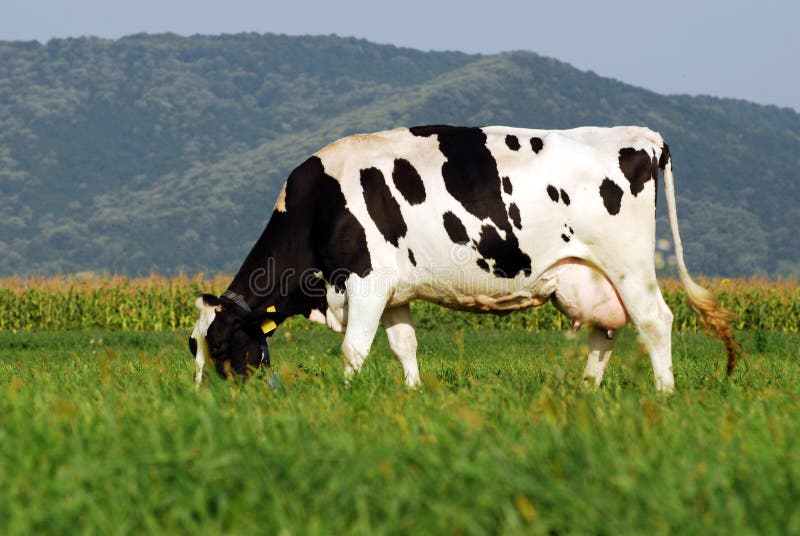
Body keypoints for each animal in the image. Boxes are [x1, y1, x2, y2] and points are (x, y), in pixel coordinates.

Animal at [189, 125, 739, 392]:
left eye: (216, 345)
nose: (207, 400)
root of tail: (641, 135)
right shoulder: (394, 291)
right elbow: (404, 346)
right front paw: (413, 393)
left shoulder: (366, 282)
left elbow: (353, 350)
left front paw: (343, 397)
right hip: (592, 274)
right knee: (606, 330)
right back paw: (587, 390)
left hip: (628, 264)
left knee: (655, 321)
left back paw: (664, 392)